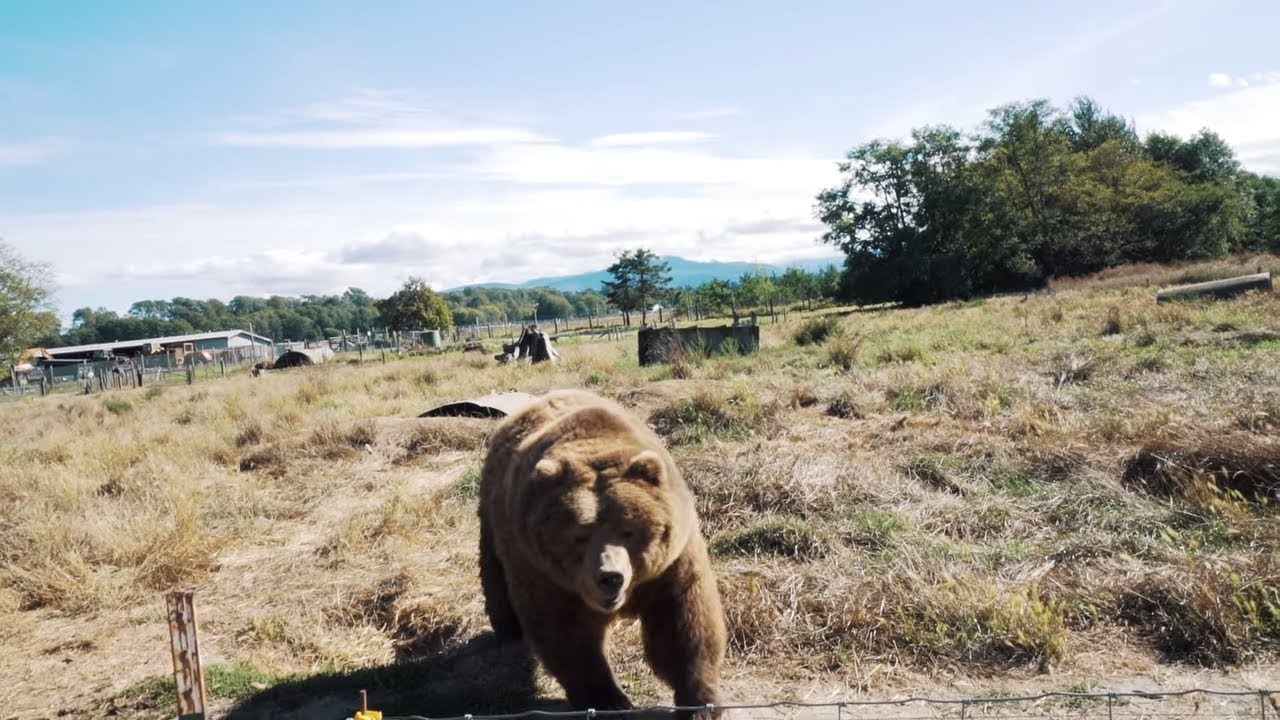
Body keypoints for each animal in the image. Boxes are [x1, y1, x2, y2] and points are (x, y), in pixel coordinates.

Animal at [477, 388, 727, 720]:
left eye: (628, 530)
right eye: (579, 536)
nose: (610, 577)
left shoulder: (670, 565)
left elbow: (682, 622)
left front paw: (700, 702)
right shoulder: (545, 573)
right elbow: (567, 635)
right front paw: (609, 698)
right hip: (495, 516)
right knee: (493, 569)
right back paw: (508, 630)